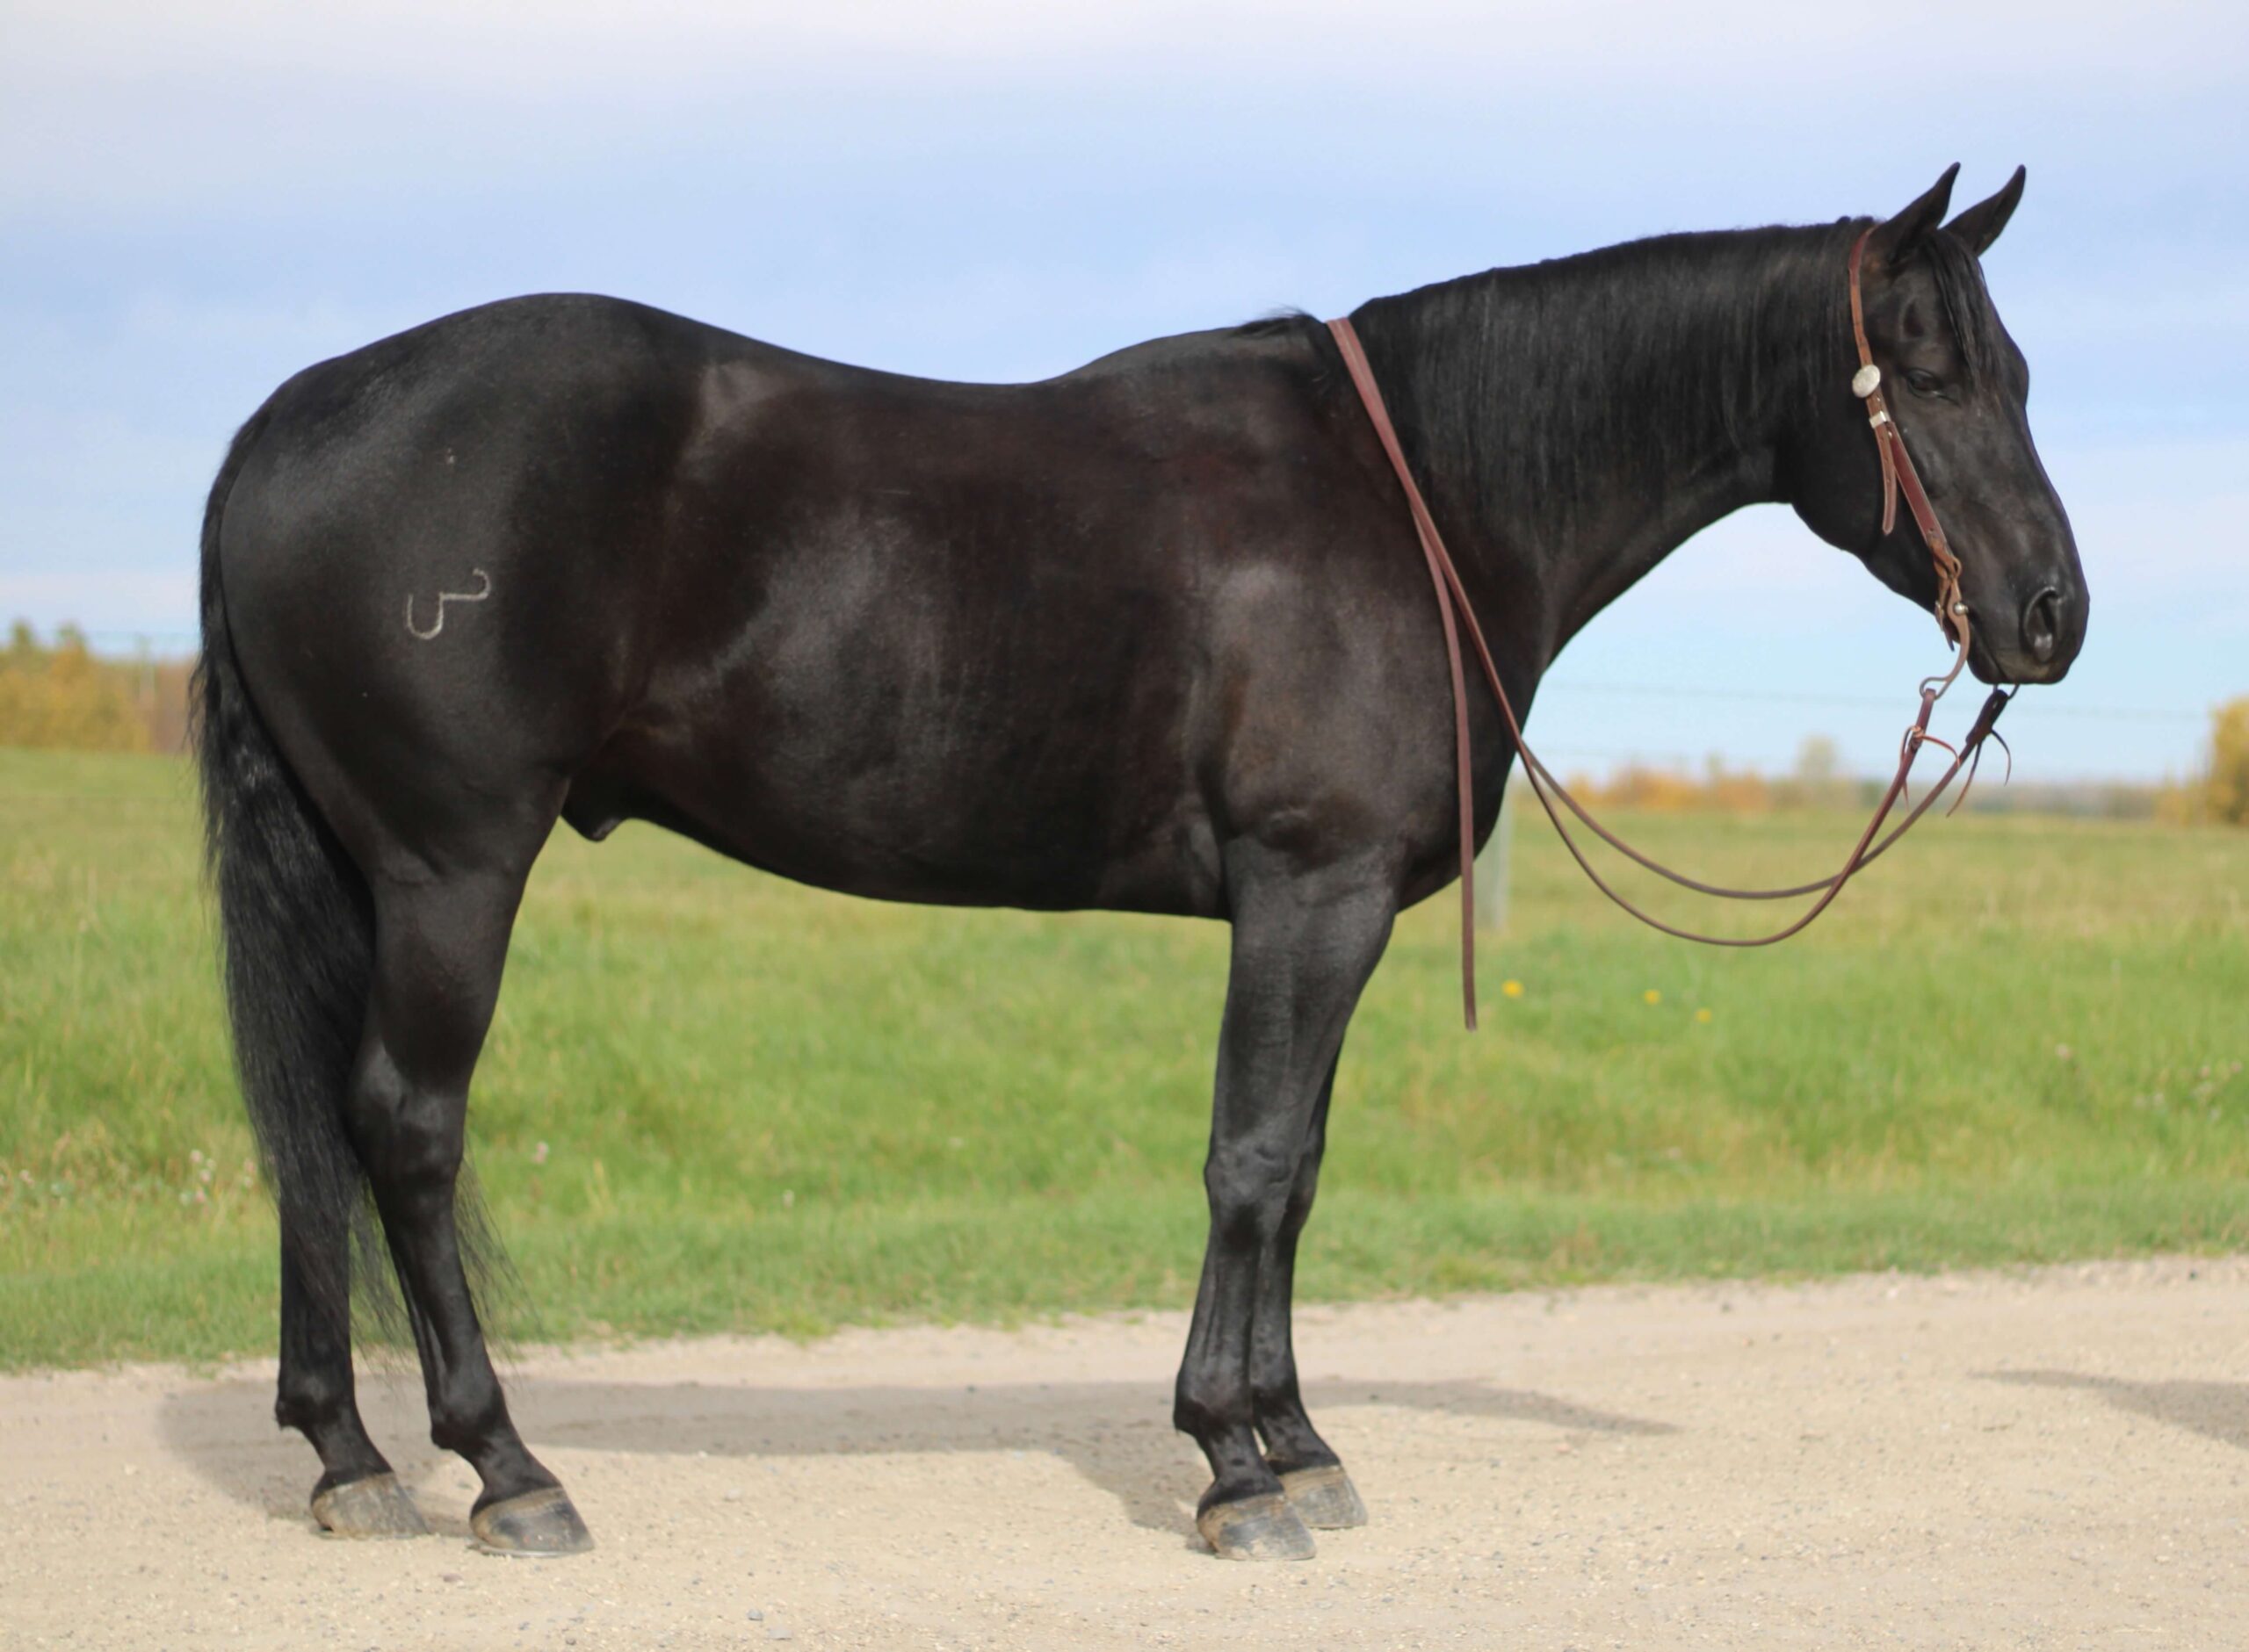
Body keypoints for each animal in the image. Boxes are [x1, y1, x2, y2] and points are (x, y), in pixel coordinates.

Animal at [193, 165, 2085, 1561]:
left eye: (2015, 374)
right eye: (1929, 376)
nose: (2050, 617)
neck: (1415, 494)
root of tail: (288, 420)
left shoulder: (1330, 915)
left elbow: (1298, 1168)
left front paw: (1297, 1439)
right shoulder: (1306, 892)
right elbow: (1250, 1162)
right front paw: (1233, 1466)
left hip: (356, 872)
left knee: (308, 1130)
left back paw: (347, 1456)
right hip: (451, 870)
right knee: (404, 1130)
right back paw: (506, 1468)